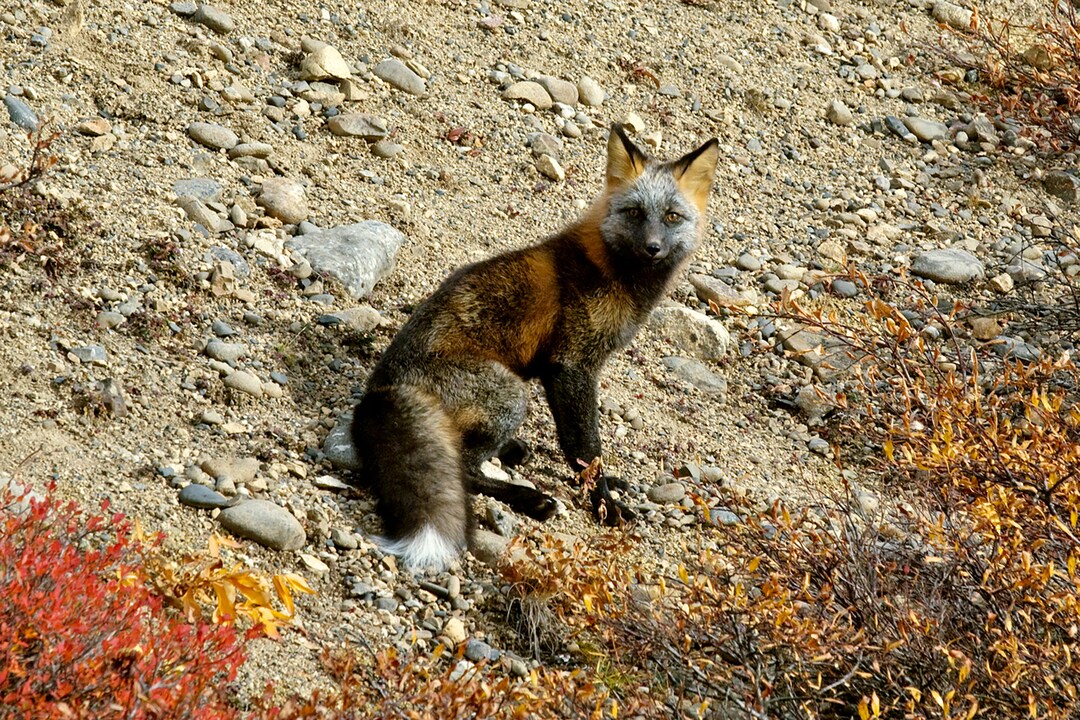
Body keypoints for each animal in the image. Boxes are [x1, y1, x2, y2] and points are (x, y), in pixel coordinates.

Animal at [350, 124, 720, 569]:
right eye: (634, 213)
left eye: (671, 217)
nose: (653, 247)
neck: (616, 277)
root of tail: (381, 389)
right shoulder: (572, 366)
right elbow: (586, 445)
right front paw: (604, 505)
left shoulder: (560, 372)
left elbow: (577, 448)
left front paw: (601, 485)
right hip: (511, 395)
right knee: (465, 469)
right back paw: (531, 499)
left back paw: (513, 453)